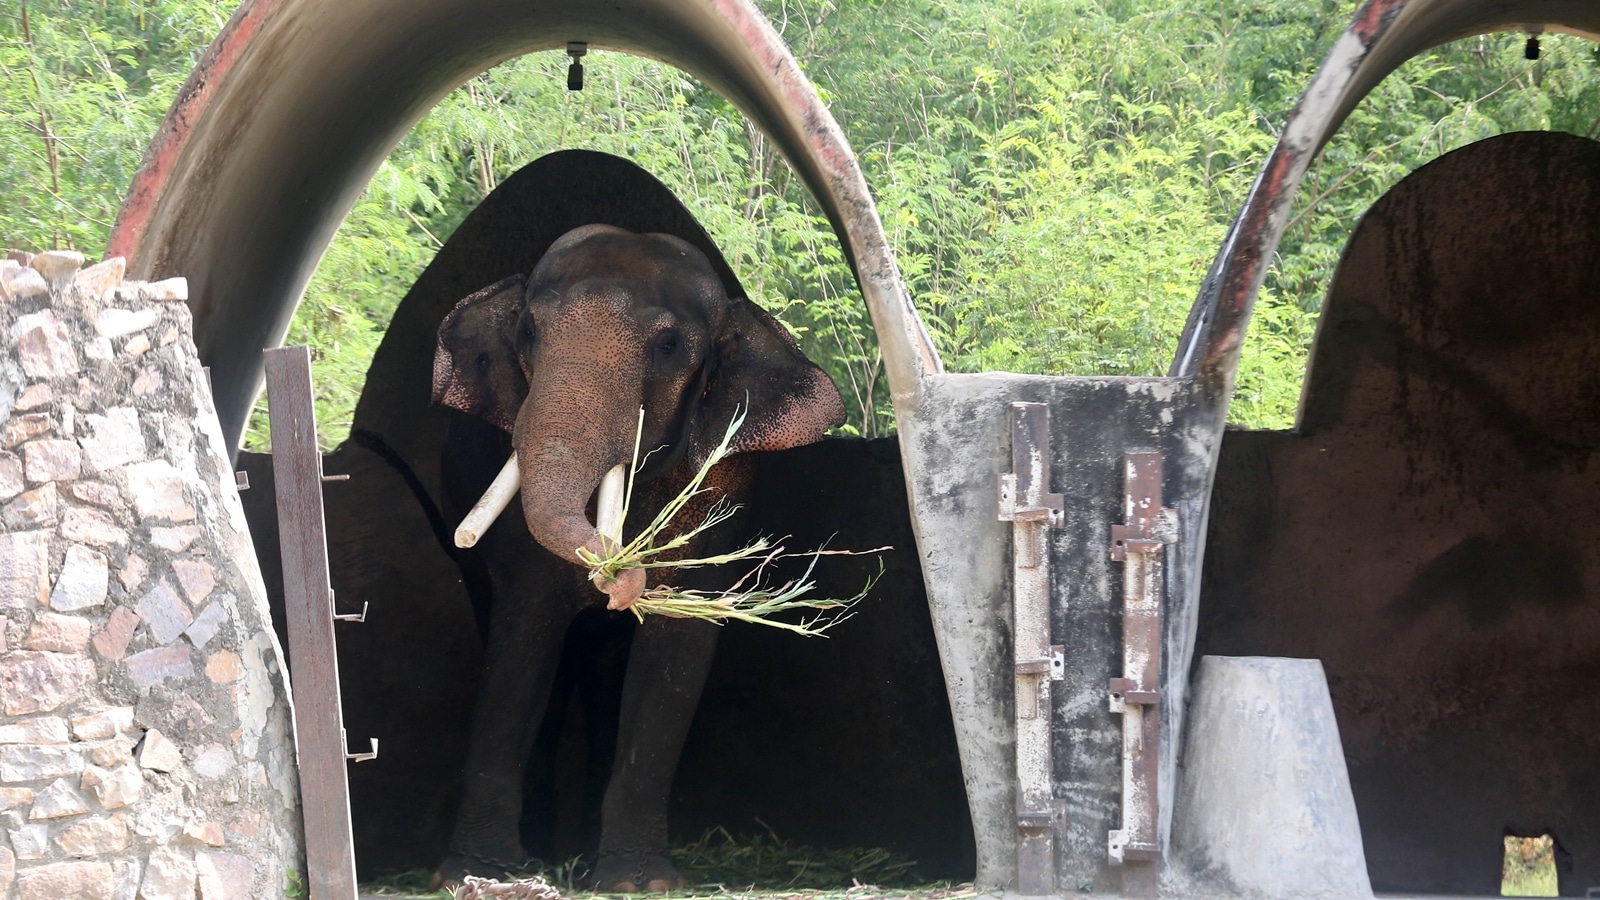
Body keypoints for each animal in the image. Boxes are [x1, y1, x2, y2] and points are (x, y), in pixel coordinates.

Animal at [429, 223, 845, 890]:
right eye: (528, 331)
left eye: (669, 346)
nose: (622, 581)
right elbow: (521, 641)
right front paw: (475, 875)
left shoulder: (719, 488)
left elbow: (675, 657)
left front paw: (636, 882)